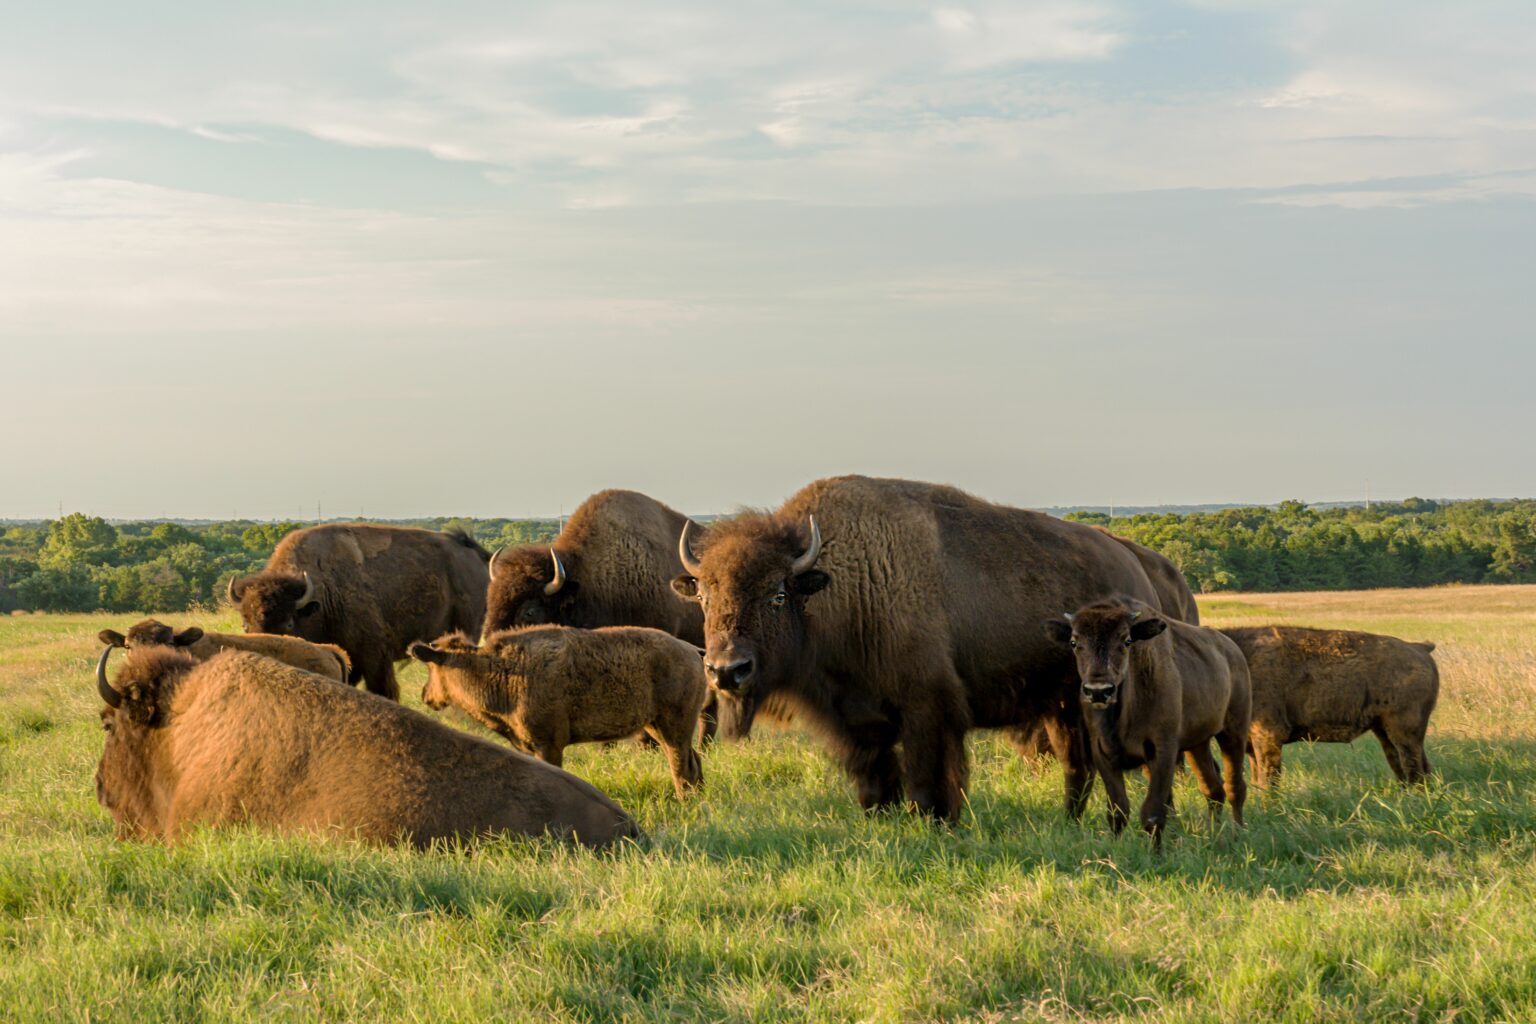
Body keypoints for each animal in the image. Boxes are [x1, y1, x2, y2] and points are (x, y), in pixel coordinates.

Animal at [228, 524, 490, 701]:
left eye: (289, 623)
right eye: (245, 624)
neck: (324, 591)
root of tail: (475, 555)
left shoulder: (375, 655)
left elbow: (382, 689)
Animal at [672, 475, 1162, 821]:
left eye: (776, 594)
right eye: (704, 597)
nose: (726, 671)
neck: (842, 582)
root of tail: (1134, 566)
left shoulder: (928, 709)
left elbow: (929, 781)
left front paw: (936, 821)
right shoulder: (854, 720)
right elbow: (875, 781)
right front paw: (882, 818)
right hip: (1061, 705)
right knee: (1076, 765)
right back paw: (1068, 821)